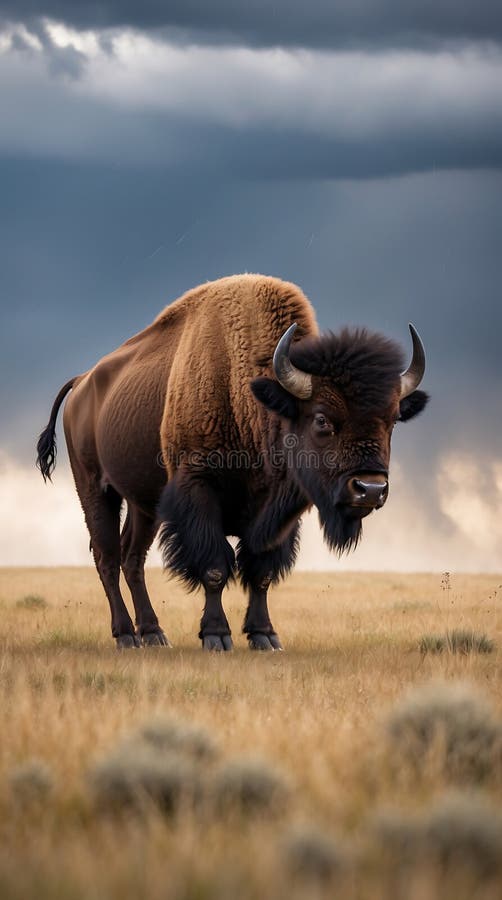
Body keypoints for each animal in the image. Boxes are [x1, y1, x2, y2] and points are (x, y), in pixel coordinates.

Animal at [37, 274, 428, 650]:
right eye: (321, 419)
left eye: (393, 419)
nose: (370, 489)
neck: (251, 396)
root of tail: (83, 381)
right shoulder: (198, 492)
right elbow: (214, 568)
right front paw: (216, 635)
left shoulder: (276, 514)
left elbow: (261, 571)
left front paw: (264, 635)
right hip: (95, 488)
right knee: (107, 557)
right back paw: (125, 636)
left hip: (143, 504)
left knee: (133, 558)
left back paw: (153, 634)